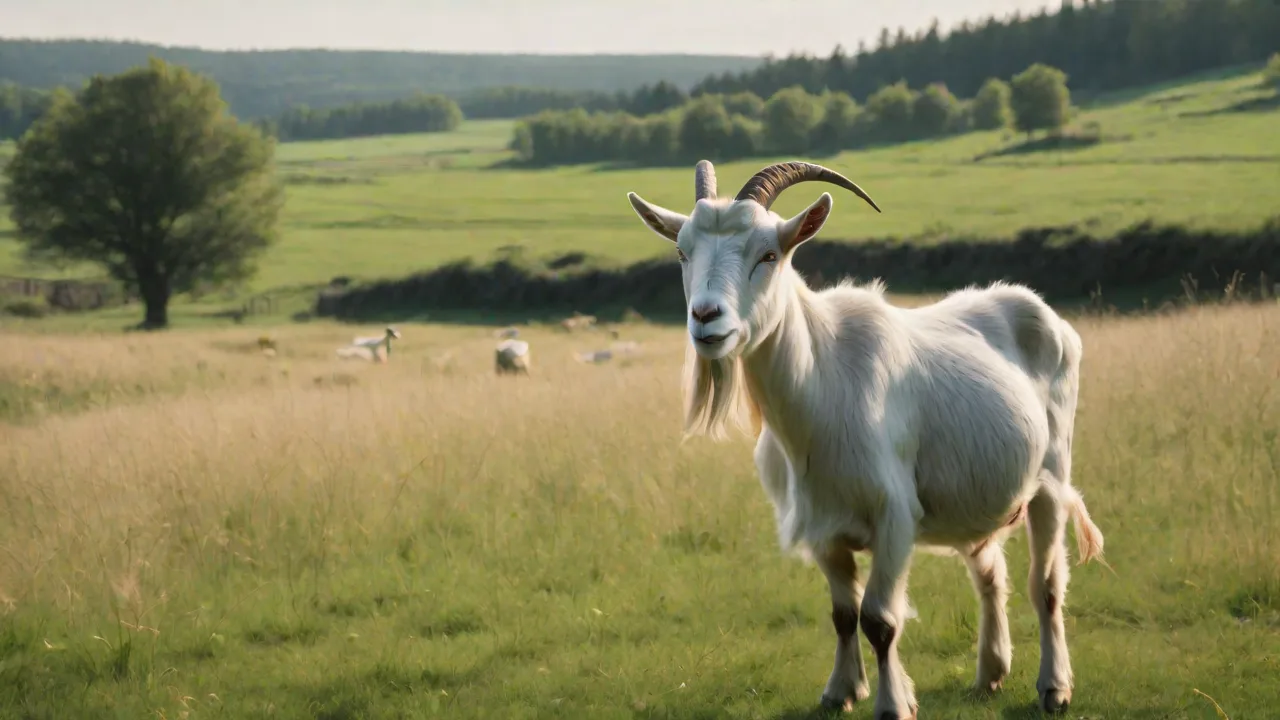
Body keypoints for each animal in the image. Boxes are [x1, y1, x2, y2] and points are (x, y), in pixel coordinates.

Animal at [626, 160, 1105, 718]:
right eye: (683, 251)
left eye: (768, 254)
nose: (706, 317)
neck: (822, 379)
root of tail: (1048, 317)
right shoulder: (822, 525)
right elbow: (843, 613)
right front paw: (841, 691)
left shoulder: (895, 517)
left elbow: (879, 619)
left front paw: (893, 703)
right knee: (990, 575)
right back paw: (989, 674)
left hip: (1051, 473)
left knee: (1046, 584)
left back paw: (1054, 687)